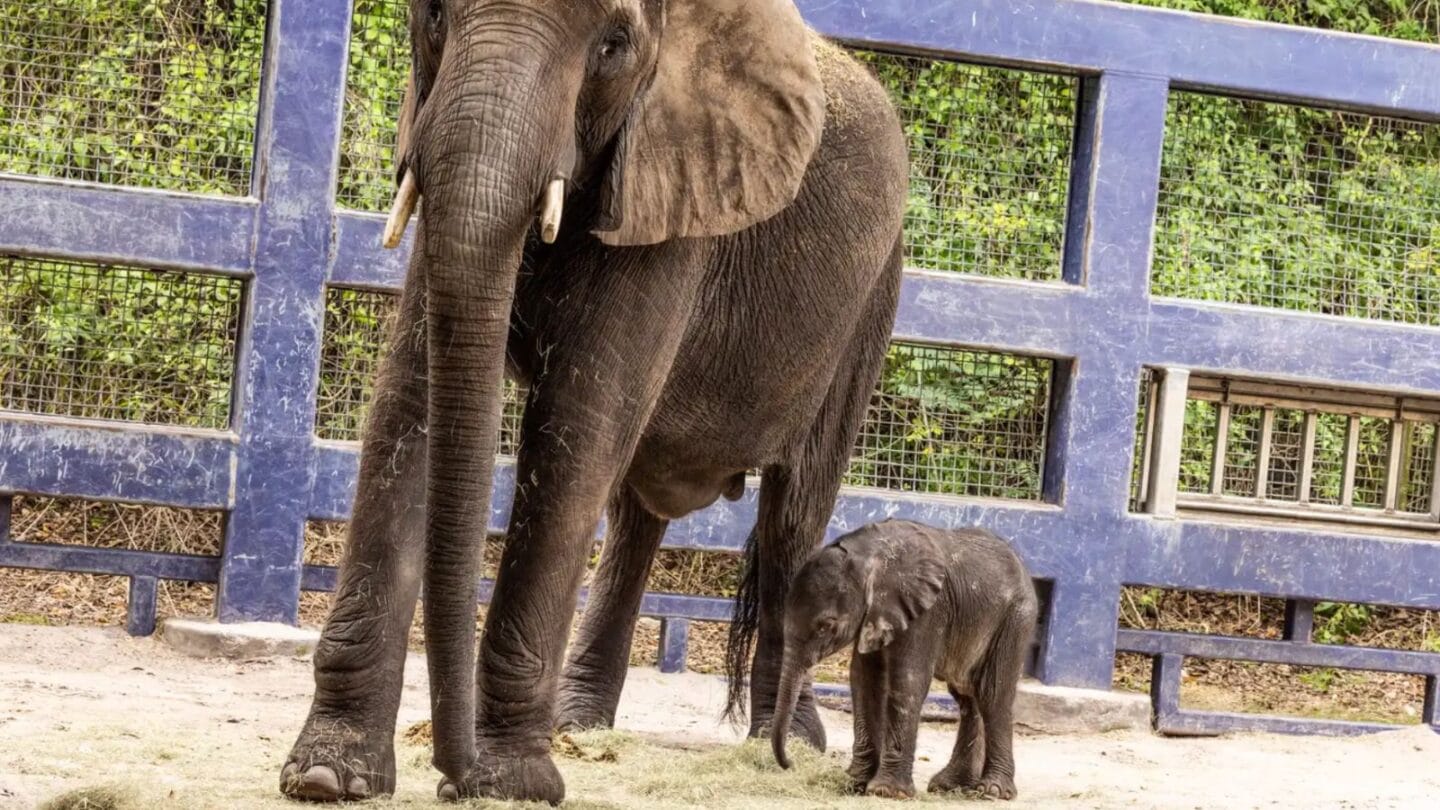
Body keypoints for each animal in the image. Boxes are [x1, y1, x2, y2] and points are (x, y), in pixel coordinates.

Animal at [280, 0, 908, 804]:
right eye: (433, 18)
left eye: (613, 46)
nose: (454, 774)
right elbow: (408, 403)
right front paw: (329, 774)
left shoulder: (676, 200)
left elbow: (575, 429)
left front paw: (512, 784)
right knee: (636, 514)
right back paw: (580, 724)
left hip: (867, 307)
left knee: (792, 515)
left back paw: (788, 743)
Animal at [771, 520, 1038, 800]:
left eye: (826, 626)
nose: (790, 763)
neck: (870, 555)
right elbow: (864, 680)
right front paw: (854, 783)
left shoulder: (928, 611)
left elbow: (909, 678)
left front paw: (887, 792)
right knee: (967, 696)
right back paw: (950, 786)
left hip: (1016, 618)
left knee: (992, 694)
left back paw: (992, 791)